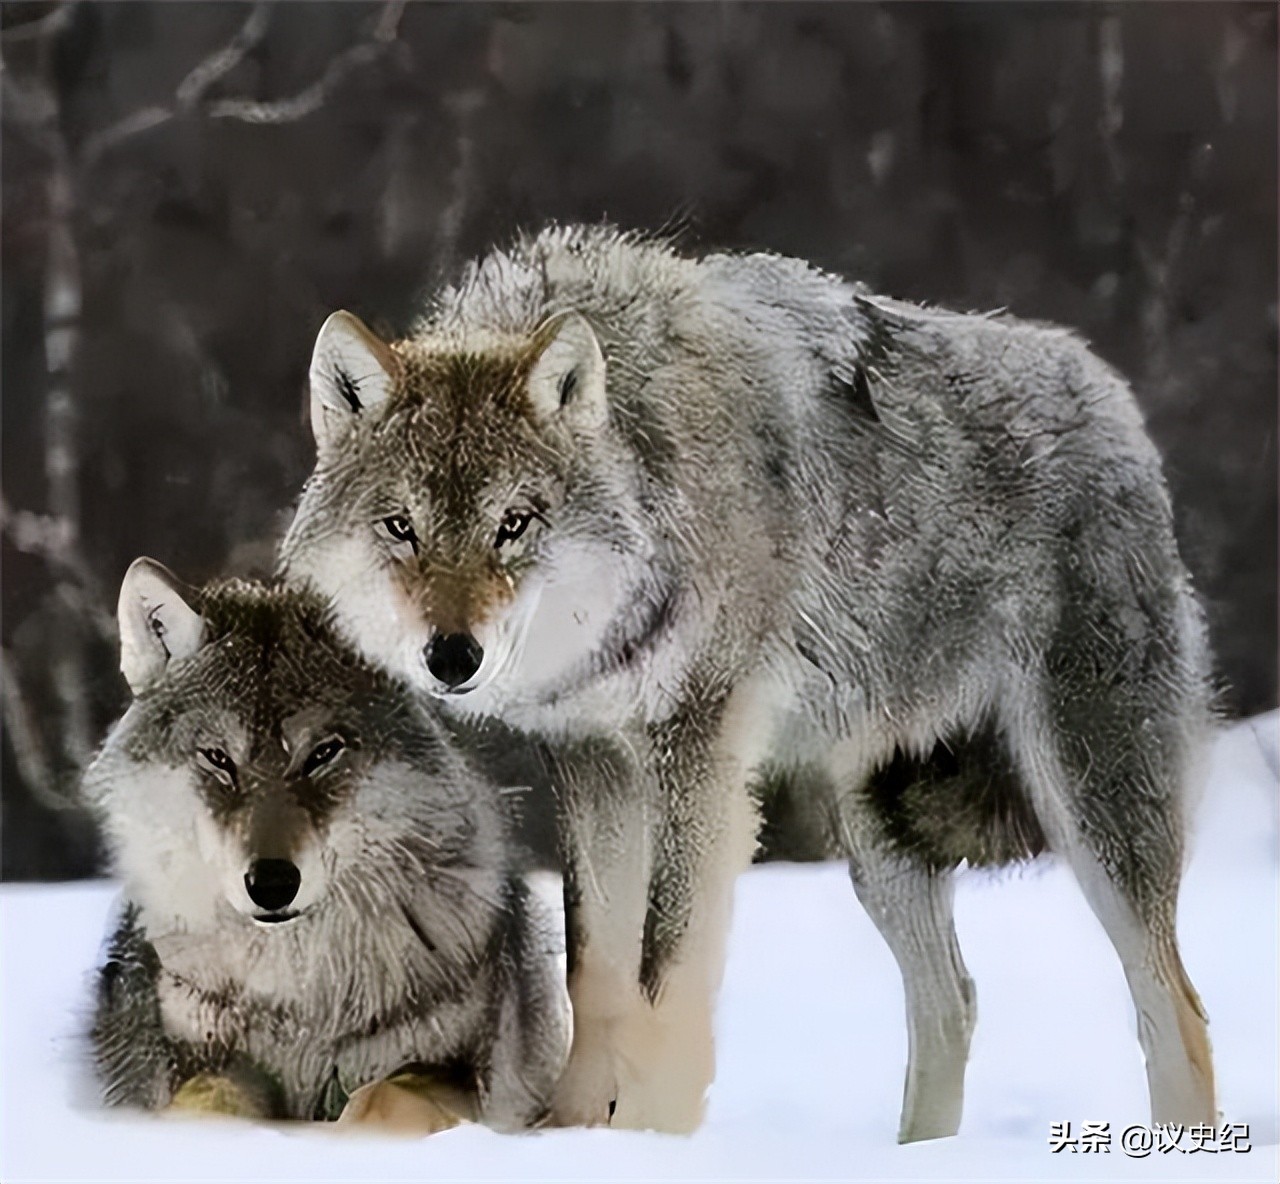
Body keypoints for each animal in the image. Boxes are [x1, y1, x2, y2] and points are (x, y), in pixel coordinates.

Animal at [85, 561, 568, 1132]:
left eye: (322, 754)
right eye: (219, 759)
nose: (271, 883)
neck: (299, 1002)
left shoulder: (450, 1072)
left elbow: (383, 1096)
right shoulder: (197, 1059)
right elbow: (210, 1097)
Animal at [280, 224, 1217, 1138]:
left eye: (514, 524)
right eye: (401, 527)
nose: (452, 657)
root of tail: (1110, 395)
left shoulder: (698, 750)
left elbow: (662, 975)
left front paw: (650, 1137)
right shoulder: (592, 760)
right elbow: (595, 970)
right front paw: (573, 1133)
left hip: (1089, 806)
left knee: (1178, 1011)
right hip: (877, 835)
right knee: (953, 1003)